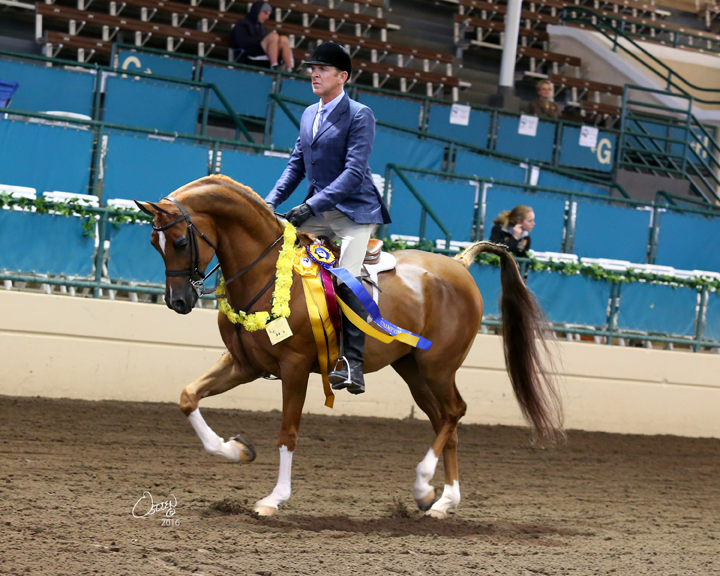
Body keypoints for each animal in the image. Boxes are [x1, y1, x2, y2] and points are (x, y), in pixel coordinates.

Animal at [135, 175, 563, 519]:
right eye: (154, 243)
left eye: (179, 241)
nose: (178, 302)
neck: (267, 272)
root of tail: (459, 264)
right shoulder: (244, 364)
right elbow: (188, 396)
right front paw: (235, 449)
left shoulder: (293, 367)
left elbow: (288, 432)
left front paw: (273, 499)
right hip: (412, 369)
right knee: (445, 420)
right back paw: (441, 501)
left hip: (438, 366)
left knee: (455, 412)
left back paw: (424, 484)